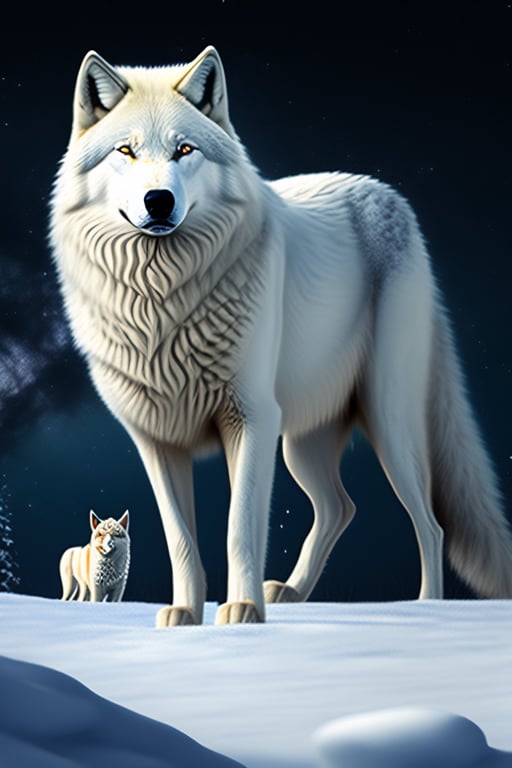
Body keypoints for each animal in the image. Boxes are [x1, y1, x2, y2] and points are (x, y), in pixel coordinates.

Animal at [50, 46, 512, 626]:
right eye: (126, 151)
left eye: (184, 149)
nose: (158, 201)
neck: (162, 301)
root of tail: (391, 197)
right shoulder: (156, 441)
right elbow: (181, 539)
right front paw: (186, 615)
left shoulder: (251, 419)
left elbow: (240, 527)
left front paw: (243, 608)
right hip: (300, 443)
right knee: (341, 507)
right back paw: (290, 592)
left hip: (383, 420)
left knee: (430, 523)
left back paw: (425, 607)